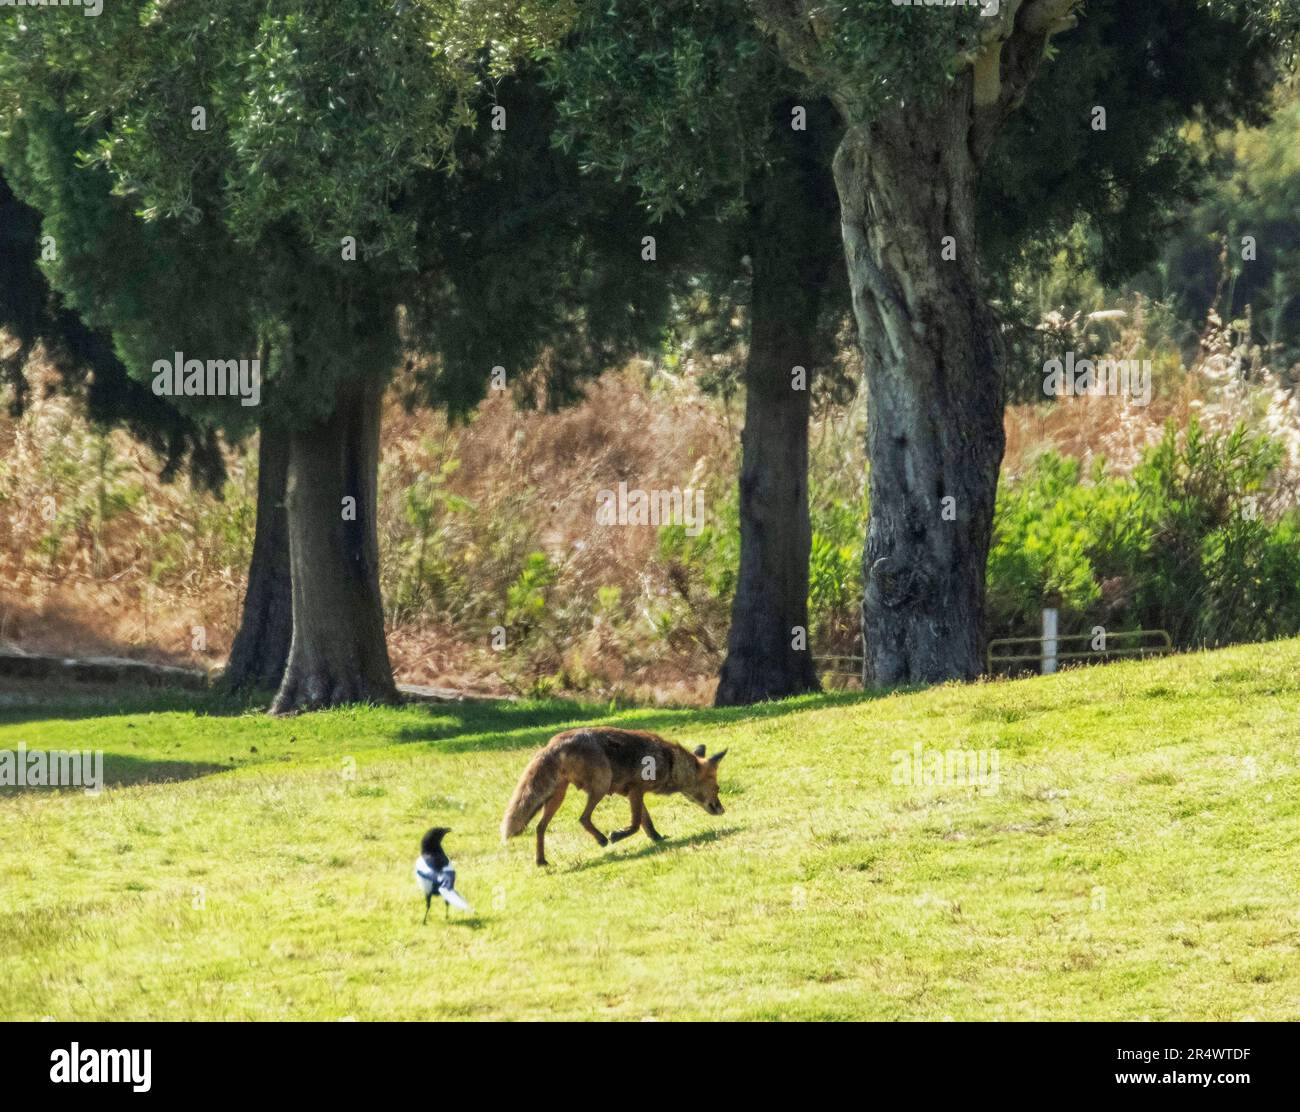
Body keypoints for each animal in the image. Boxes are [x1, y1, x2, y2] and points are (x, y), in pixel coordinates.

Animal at [501, 727, 728, 866]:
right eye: (717, 788)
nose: (722, 810)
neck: (670, 761)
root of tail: (553, 743)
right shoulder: (636, 790)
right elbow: (635, 824)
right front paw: (618, 835)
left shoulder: (633, 793)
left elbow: (647, 823)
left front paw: (658, 838)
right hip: (600, 786)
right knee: (583, 818)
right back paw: (602, 839)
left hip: (558, 796)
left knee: (540, 827)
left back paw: (541, 861)